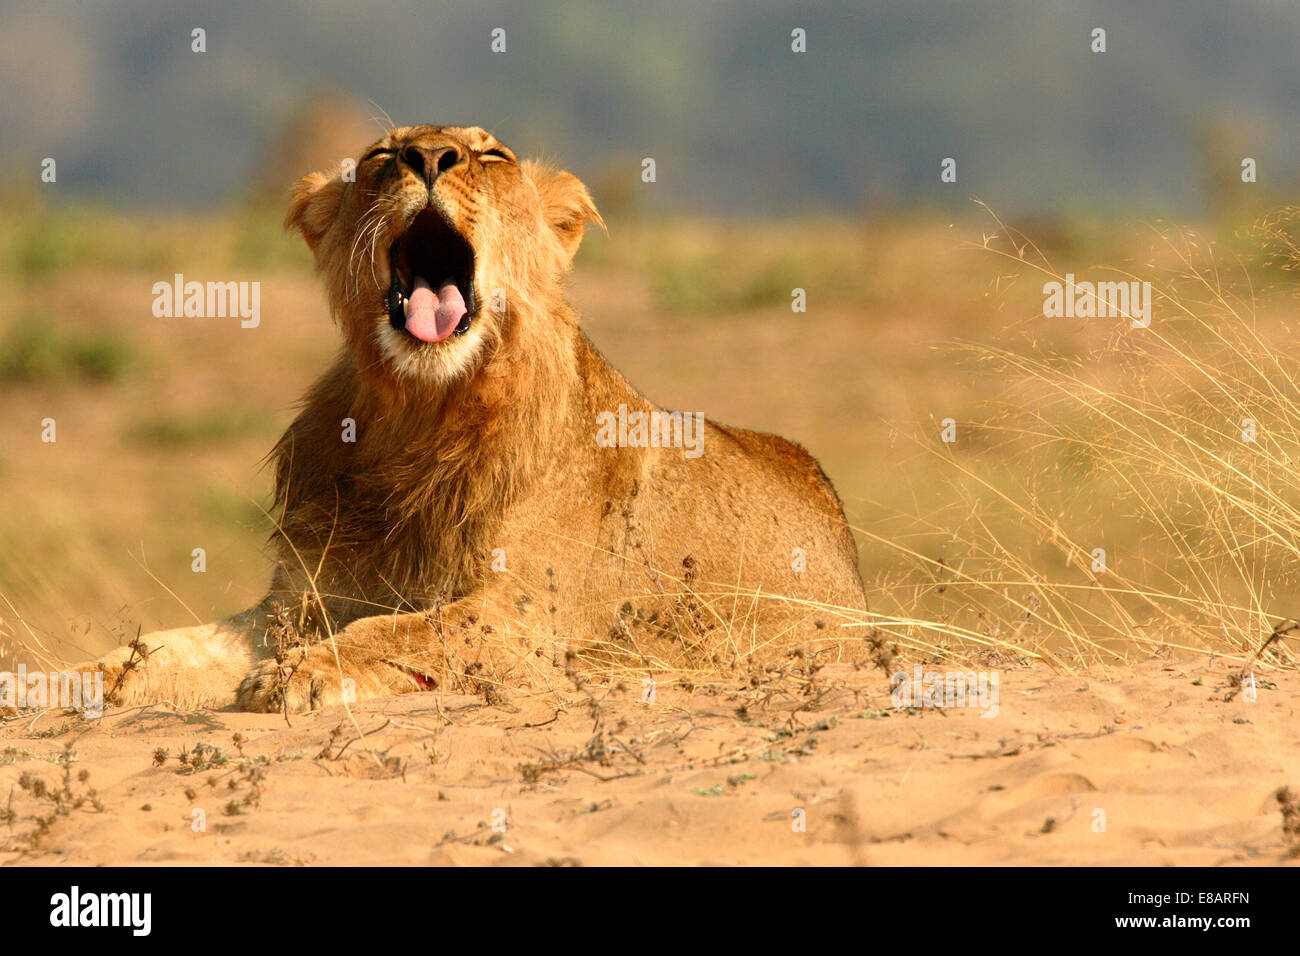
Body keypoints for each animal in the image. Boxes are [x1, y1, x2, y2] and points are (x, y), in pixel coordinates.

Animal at [81, 124, 868, 713]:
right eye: (381, 155)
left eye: (493, 157)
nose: (428, 157)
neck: (418, 413)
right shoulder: (299, 599)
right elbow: (160, 648)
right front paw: (72, 682)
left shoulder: (526, 618)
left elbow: (400, 630)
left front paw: (298, 675)